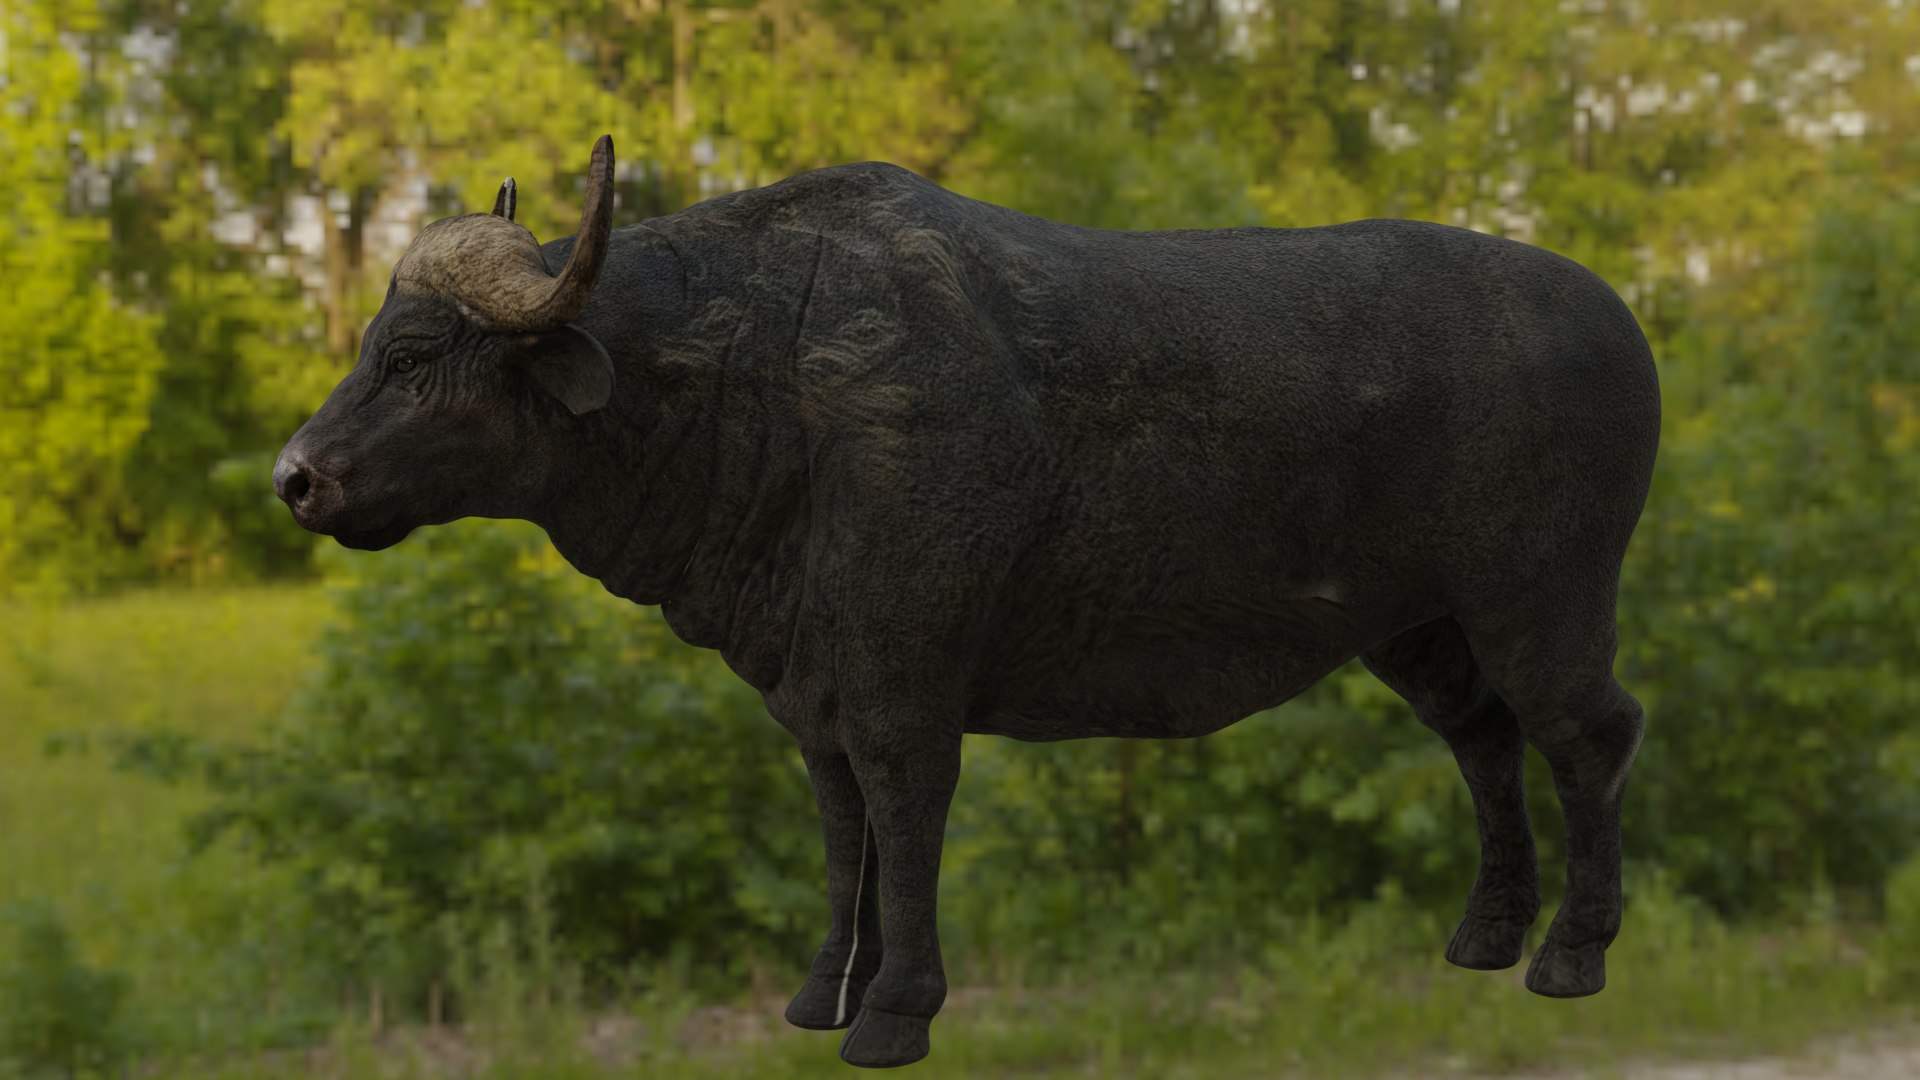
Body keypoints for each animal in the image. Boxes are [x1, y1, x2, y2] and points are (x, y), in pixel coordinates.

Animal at [275, 136, 1660, 1068]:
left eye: (412, 355)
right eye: (375, 344)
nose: (295, 476)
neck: (771, 372)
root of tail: (1618, 319)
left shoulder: (903, 676)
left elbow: (905, 818)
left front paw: (895, 1010)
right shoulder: (813, 691)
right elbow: (844, 834)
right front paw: (821, 993)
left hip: (1543, 609)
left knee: (1590, 735)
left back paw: (1573, 952)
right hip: (1421, 633)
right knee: (1485, 743)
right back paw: (1485, 934)